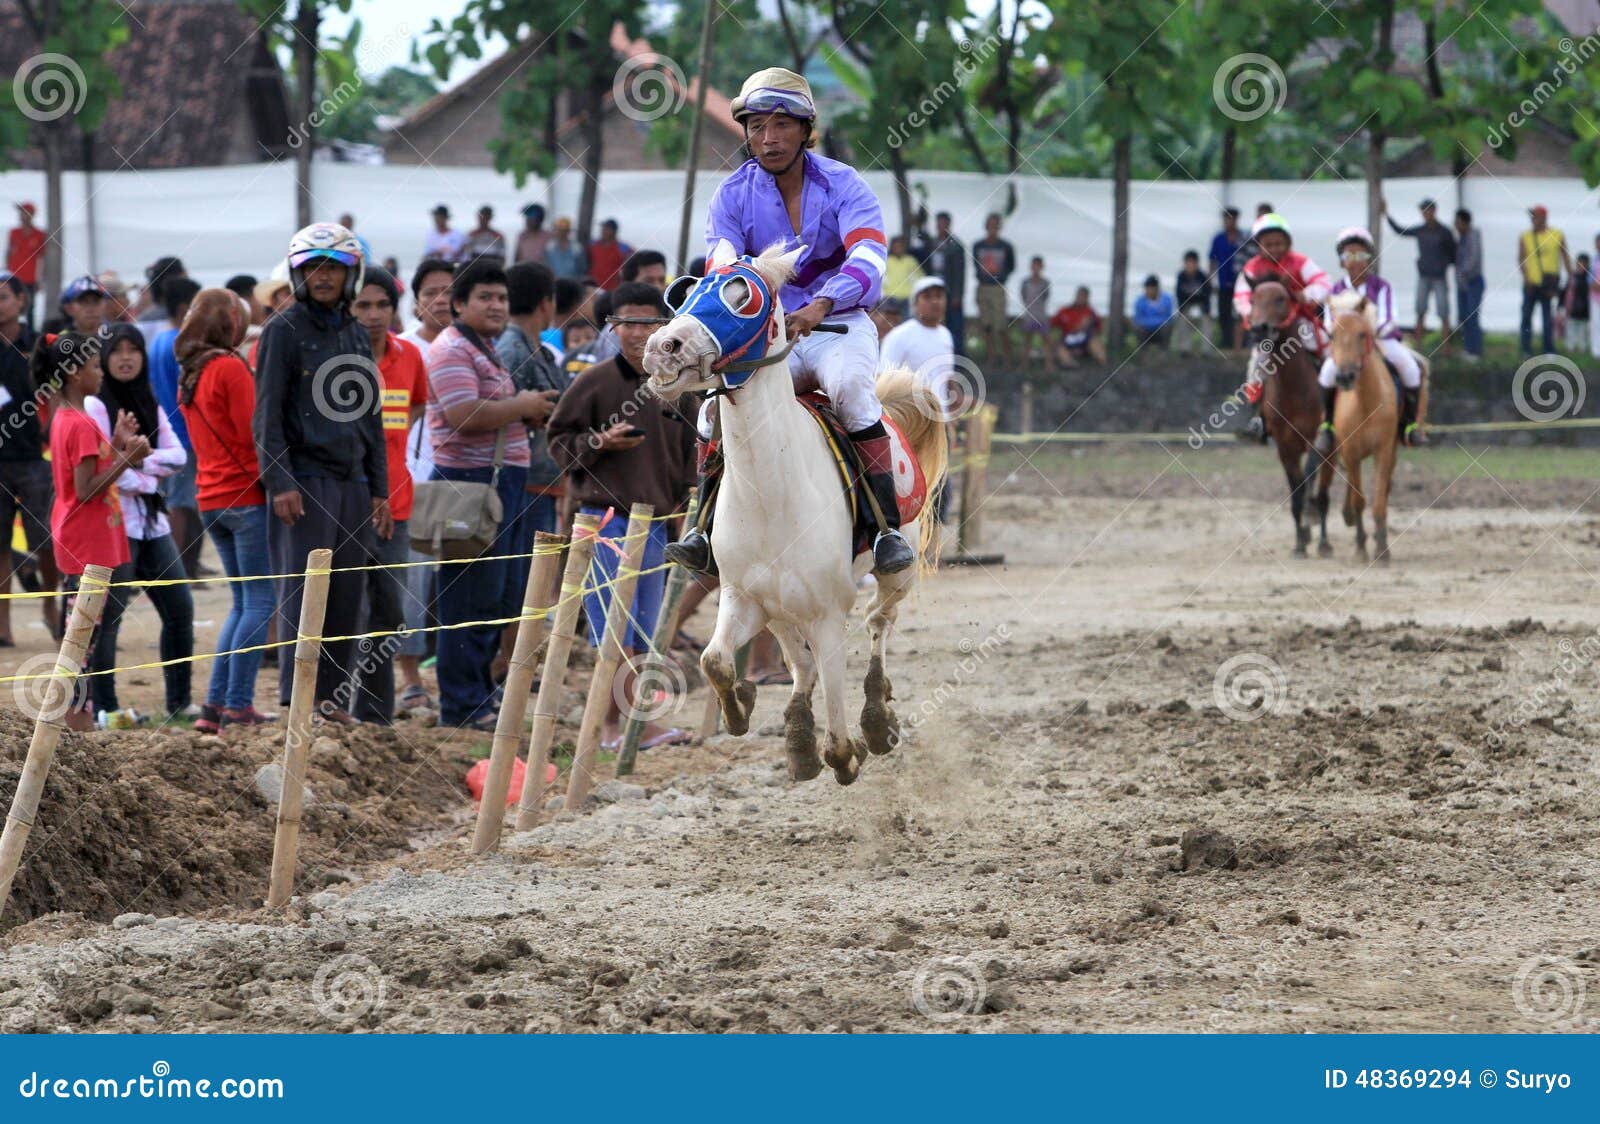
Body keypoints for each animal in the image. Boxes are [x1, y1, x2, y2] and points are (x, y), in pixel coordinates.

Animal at [640, 242, 948, 786]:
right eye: (687, 291)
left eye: (742, 296)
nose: (663, 347)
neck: (770, 495)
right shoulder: (743, 597)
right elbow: (716, 661)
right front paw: (742, 707)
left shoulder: (828, 614)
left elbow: (838, 722)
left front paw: (846, 748)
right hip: (779, 606)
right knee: (799, 660)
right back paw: (800, 737)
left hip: (899, 573)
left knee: (878, 621)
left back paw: (876, 718)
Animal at [1244, 278, 1331, 557]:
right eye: (1252, 300)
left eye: (1281, 298)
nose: (1259, 328)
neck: (1294, 389)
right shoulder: (1284, 446)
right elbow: (1296, 490)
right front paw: (1299, 543)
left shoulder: (1317, 439)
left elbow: (1311, 479)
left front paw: (1313, 524)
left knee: (1323, 489)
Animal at [1320, 294, 1429, 564]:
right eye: (1332, 335)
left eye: (1362, 334)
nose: (1345, 377)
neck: (1365, 402)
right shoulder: (1350, 450)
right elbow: (1360, 500)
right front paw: (1361, 547)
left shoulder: (1383, 450)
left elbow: (1379, 501)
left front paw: (1382, 549)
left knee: (1385, 488)